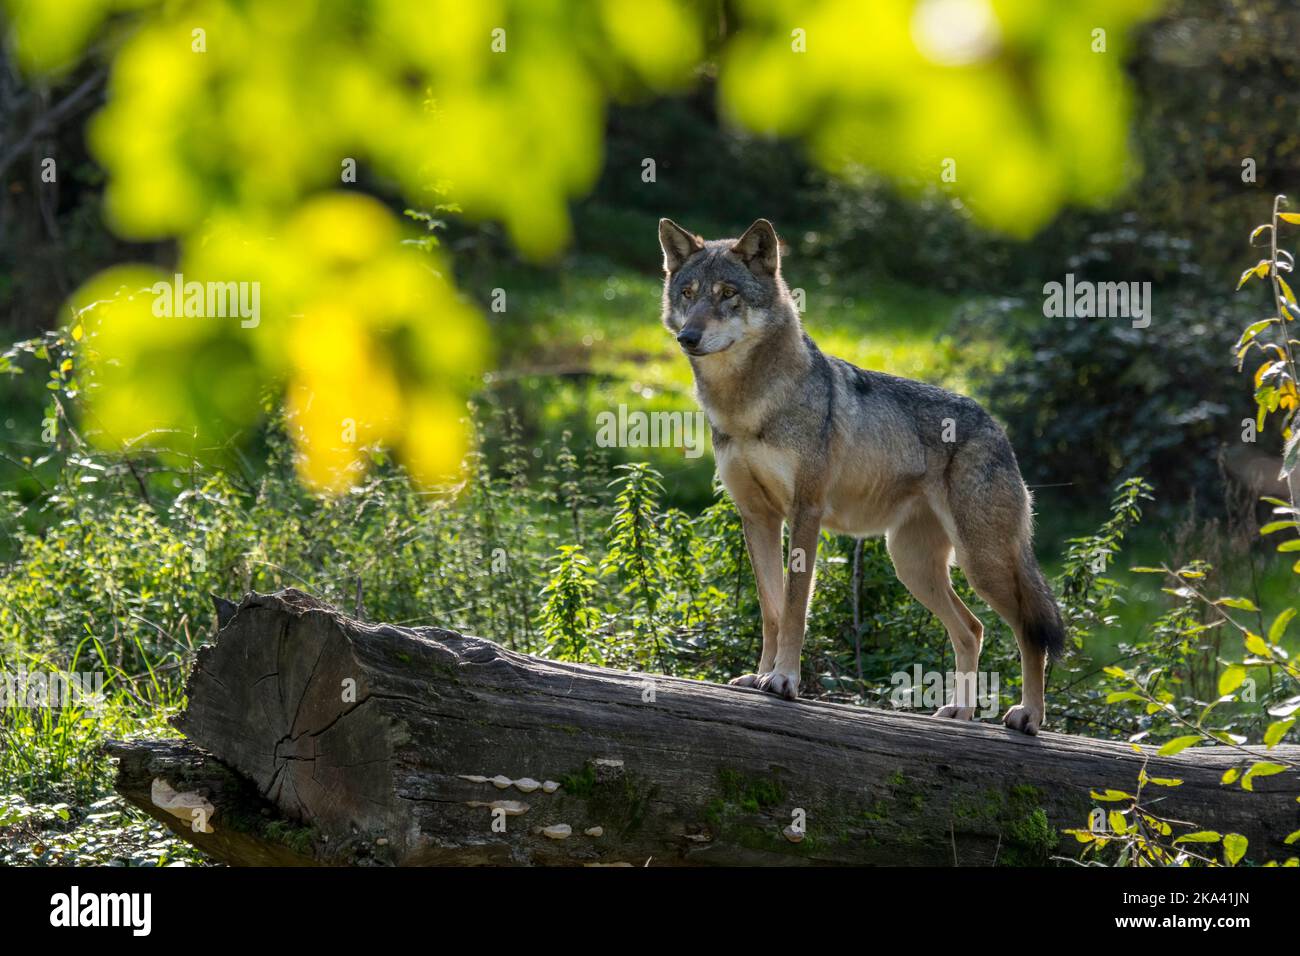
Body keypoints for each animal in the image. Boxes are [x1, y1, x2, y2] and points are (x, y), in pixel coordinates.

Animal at [658, 217, 1066, 734]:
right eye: (688, 293)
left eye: (728, 293)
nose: (688, 337)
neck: (748, 406)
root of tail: (997, 428)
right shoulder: (757, 518)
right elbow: (771, 610)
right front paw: (759, 675)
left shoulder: (805, 513)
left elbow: (794, 608)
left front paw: (784, 680)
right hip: (912, 566)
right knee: (972, 629)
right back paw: (960, 713)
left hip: (982, 564)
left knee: (1028, 632)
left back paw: (1028, 715)